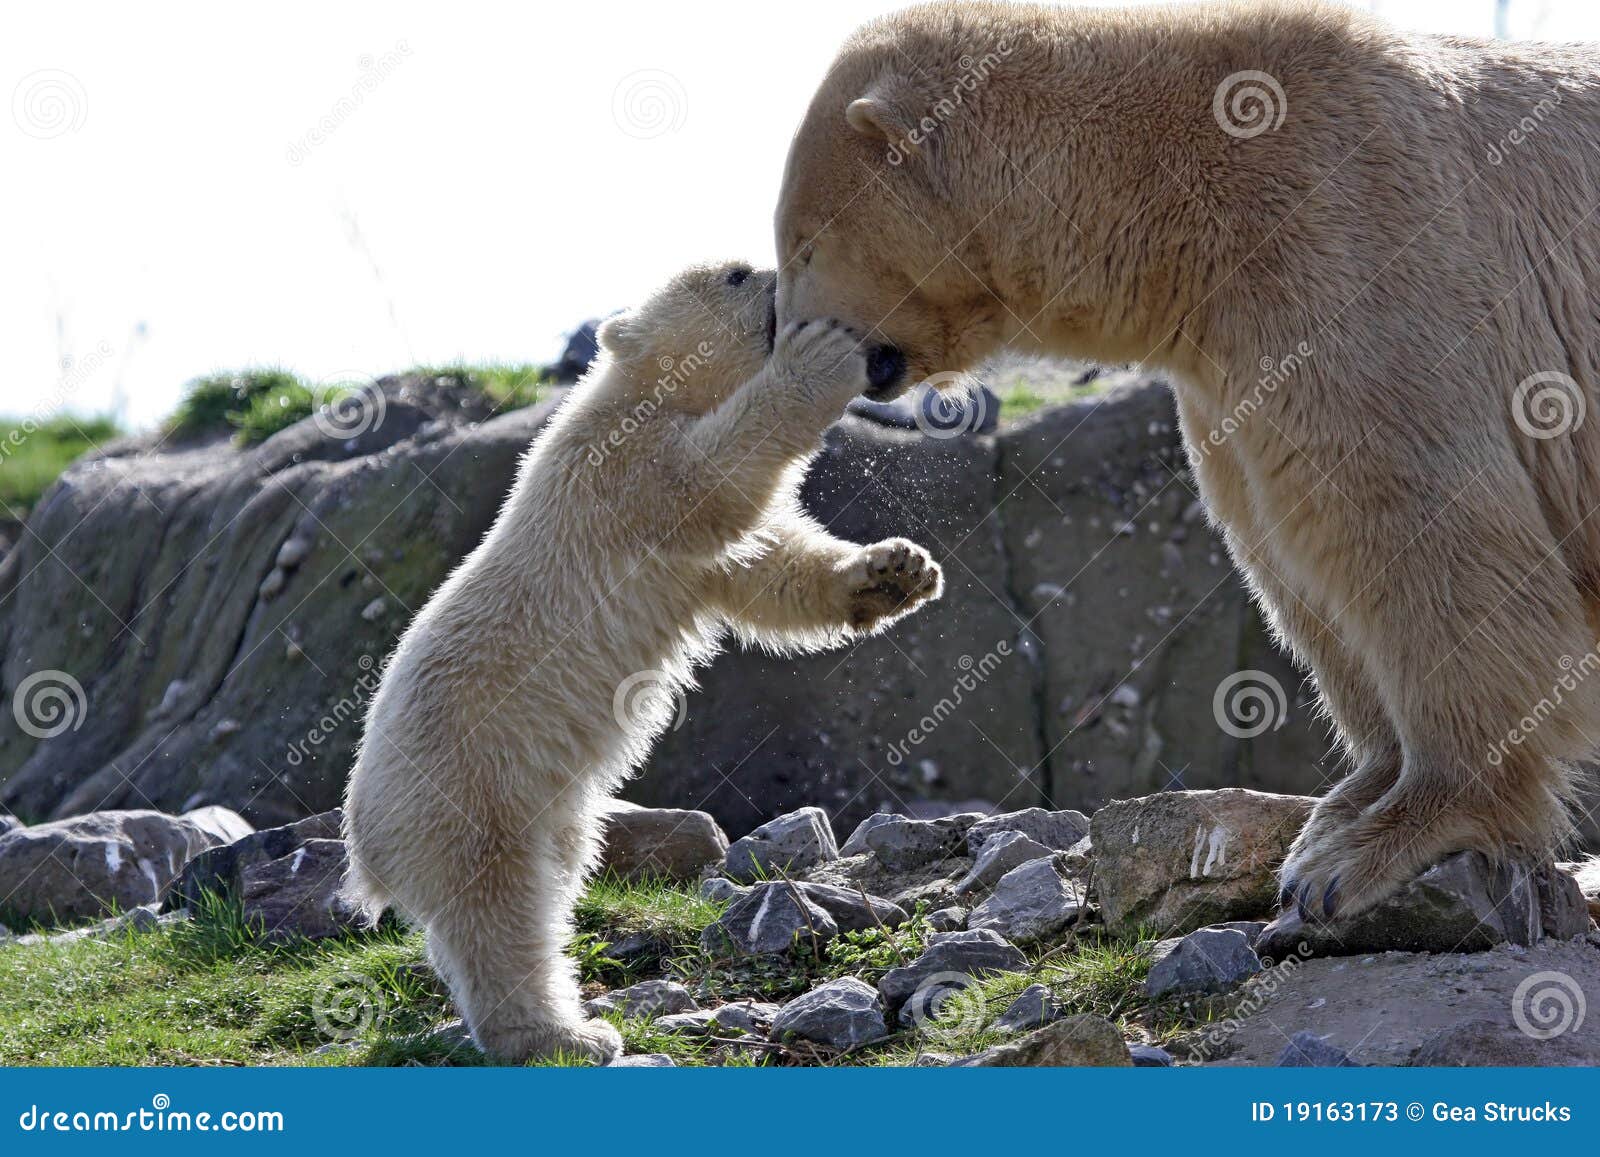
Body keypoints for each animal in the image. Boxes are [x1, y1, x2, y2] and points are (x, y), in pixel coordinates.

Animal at [340, 261, 943, 1064]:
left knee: (541, 886)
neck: (637, 392)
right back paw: (564, 1032)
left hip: (537, 811)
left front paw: (897, 570)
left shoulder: (691, 546)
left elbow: (769, 570)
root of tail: (364, 852)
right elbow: (709, 479)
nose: (783, 277)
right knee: (500, 915)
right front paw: (821, 357)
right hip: (466, 793)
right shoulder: (624, 466)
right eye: (737, 274)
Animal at [775, 0, 1600, 921]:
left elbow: (1419, 523)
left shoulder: (1351, 240)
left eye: (802, 244)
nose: (786, 339)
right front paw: (1340, 810)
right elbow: (1292, 553)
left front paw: (1373, 845)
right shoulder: (1226, 366)